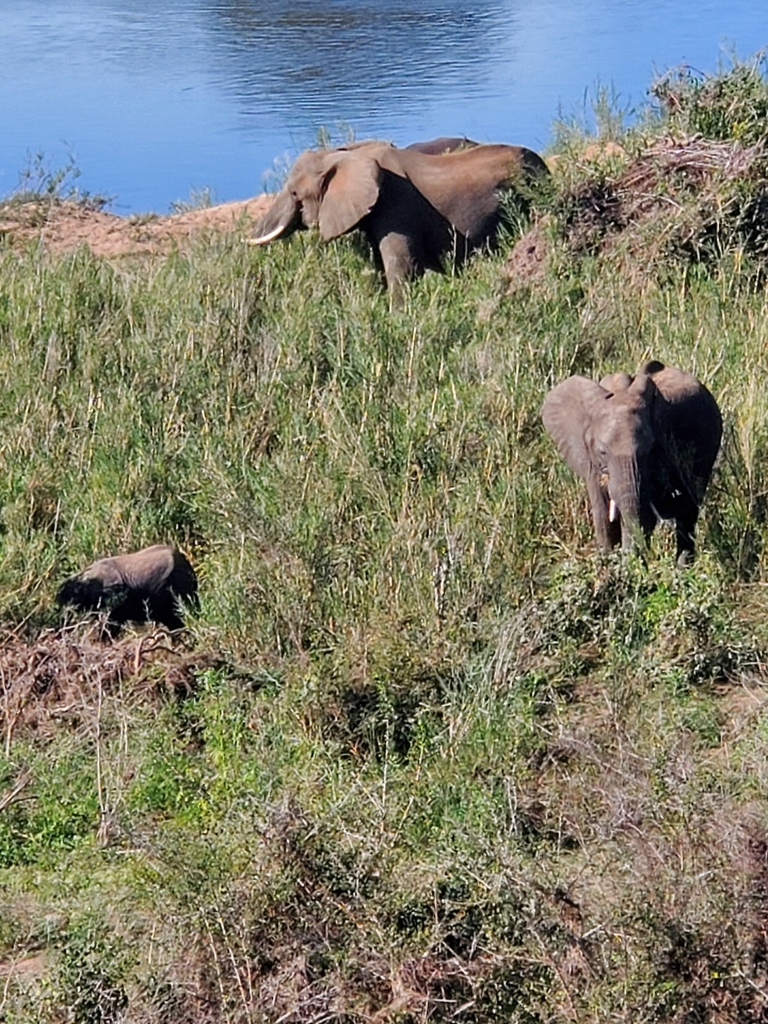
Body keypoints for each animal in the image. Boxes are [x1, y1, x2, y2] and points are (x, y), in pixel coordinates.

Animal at [541, 360, 722, 565]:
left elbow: (643, 515)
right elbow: (603, 517)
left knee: (688, 513)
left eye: (651, 450)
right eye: (602, 452)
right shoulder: (590, 462)